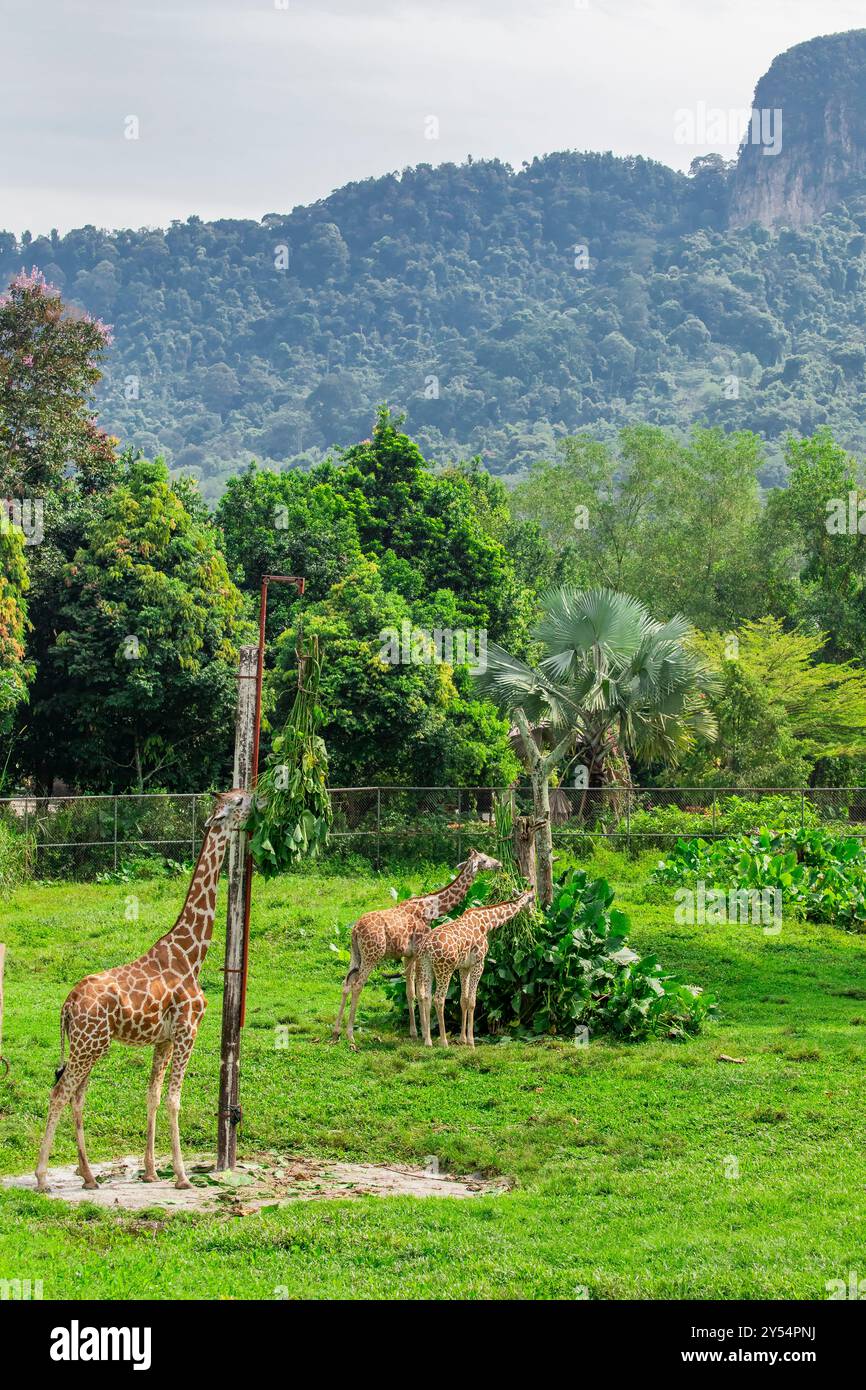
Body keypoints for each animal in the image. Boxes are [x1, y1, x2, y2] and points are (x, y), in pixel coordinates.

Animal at [35, 789, 252, 1194]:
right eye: (237, 801)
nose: (256, 796)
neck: (192, 954)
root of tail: (66, 1006)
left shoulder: (163, 1038)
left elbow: (152, 1095)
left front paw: (151, 1171)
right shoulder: (188, 1030)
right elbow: (174, 1099)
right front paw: (182, 1176)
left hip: (89, 1045)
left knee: (76, 1096)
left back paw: (89, 1176)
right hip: (90, 1045)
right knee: (60, 1093)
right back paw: (42, 1177)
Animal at [331, 847, 502, 1048]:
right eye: (483, 860)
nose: (499, 864)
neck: (432, 908)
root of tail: (355, 929)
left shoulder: (409, 955)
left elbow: (410, 992)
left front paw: (415, 1033)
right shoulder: (420, 949)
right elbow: (421, 992)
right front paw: (425, 1035)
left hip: (355, 954)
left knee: (346, 983)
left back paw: (336, 1031)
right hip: (372, 955)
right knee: (358, 985)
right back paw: (350, 1035)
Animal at [417, 888, 536, 1048]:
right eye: (533, 900)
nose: (534, 914)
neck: (486, 923)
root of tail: (426, 947)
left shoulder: (464, 967)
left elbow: (464, 1000)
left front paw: (463, 1039)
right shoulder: (479, 963)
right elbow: (472, 1001)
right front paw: (471, 1042)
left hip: (426, 966)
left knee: (426, 997)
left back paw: (428, 1041)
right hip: (444, 969)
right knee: (439, 999)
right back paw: (444, 1042)